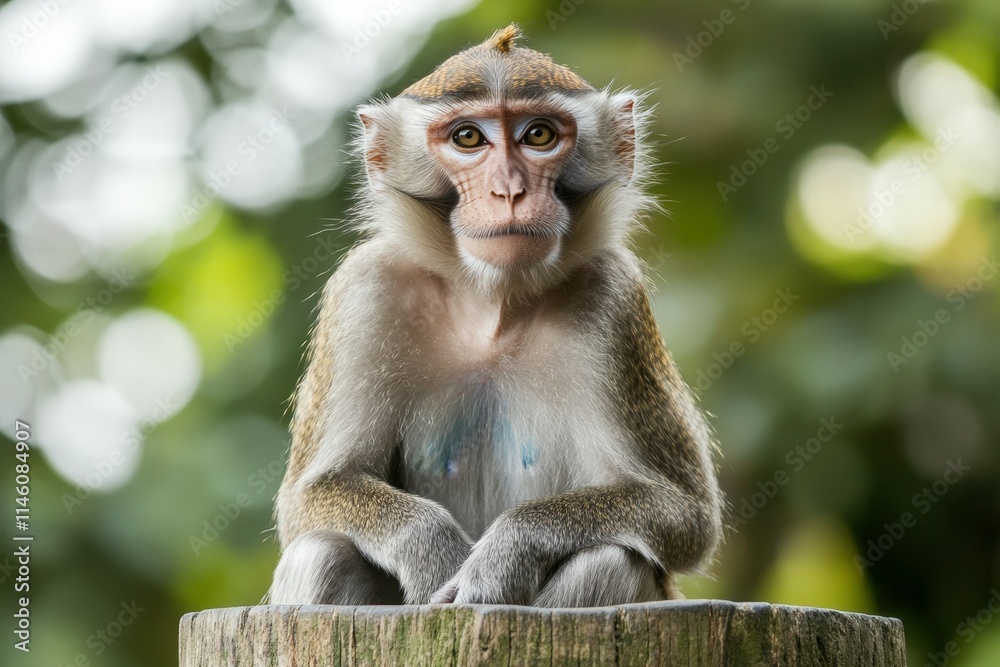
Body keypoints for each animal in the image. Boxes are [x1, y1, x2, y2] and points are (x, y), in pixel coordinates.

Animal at [268, 24, 723, 608]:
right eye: (468, 138)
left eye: (538, 135)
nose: (509, 190)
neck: (492, 308)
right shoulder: (367, 290)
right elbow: (309, 498)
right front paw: (429, 547)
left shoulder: (614, 299)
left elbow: (686, 515)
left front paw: (509, 549)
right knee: (321, 550)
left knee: (610, 560)